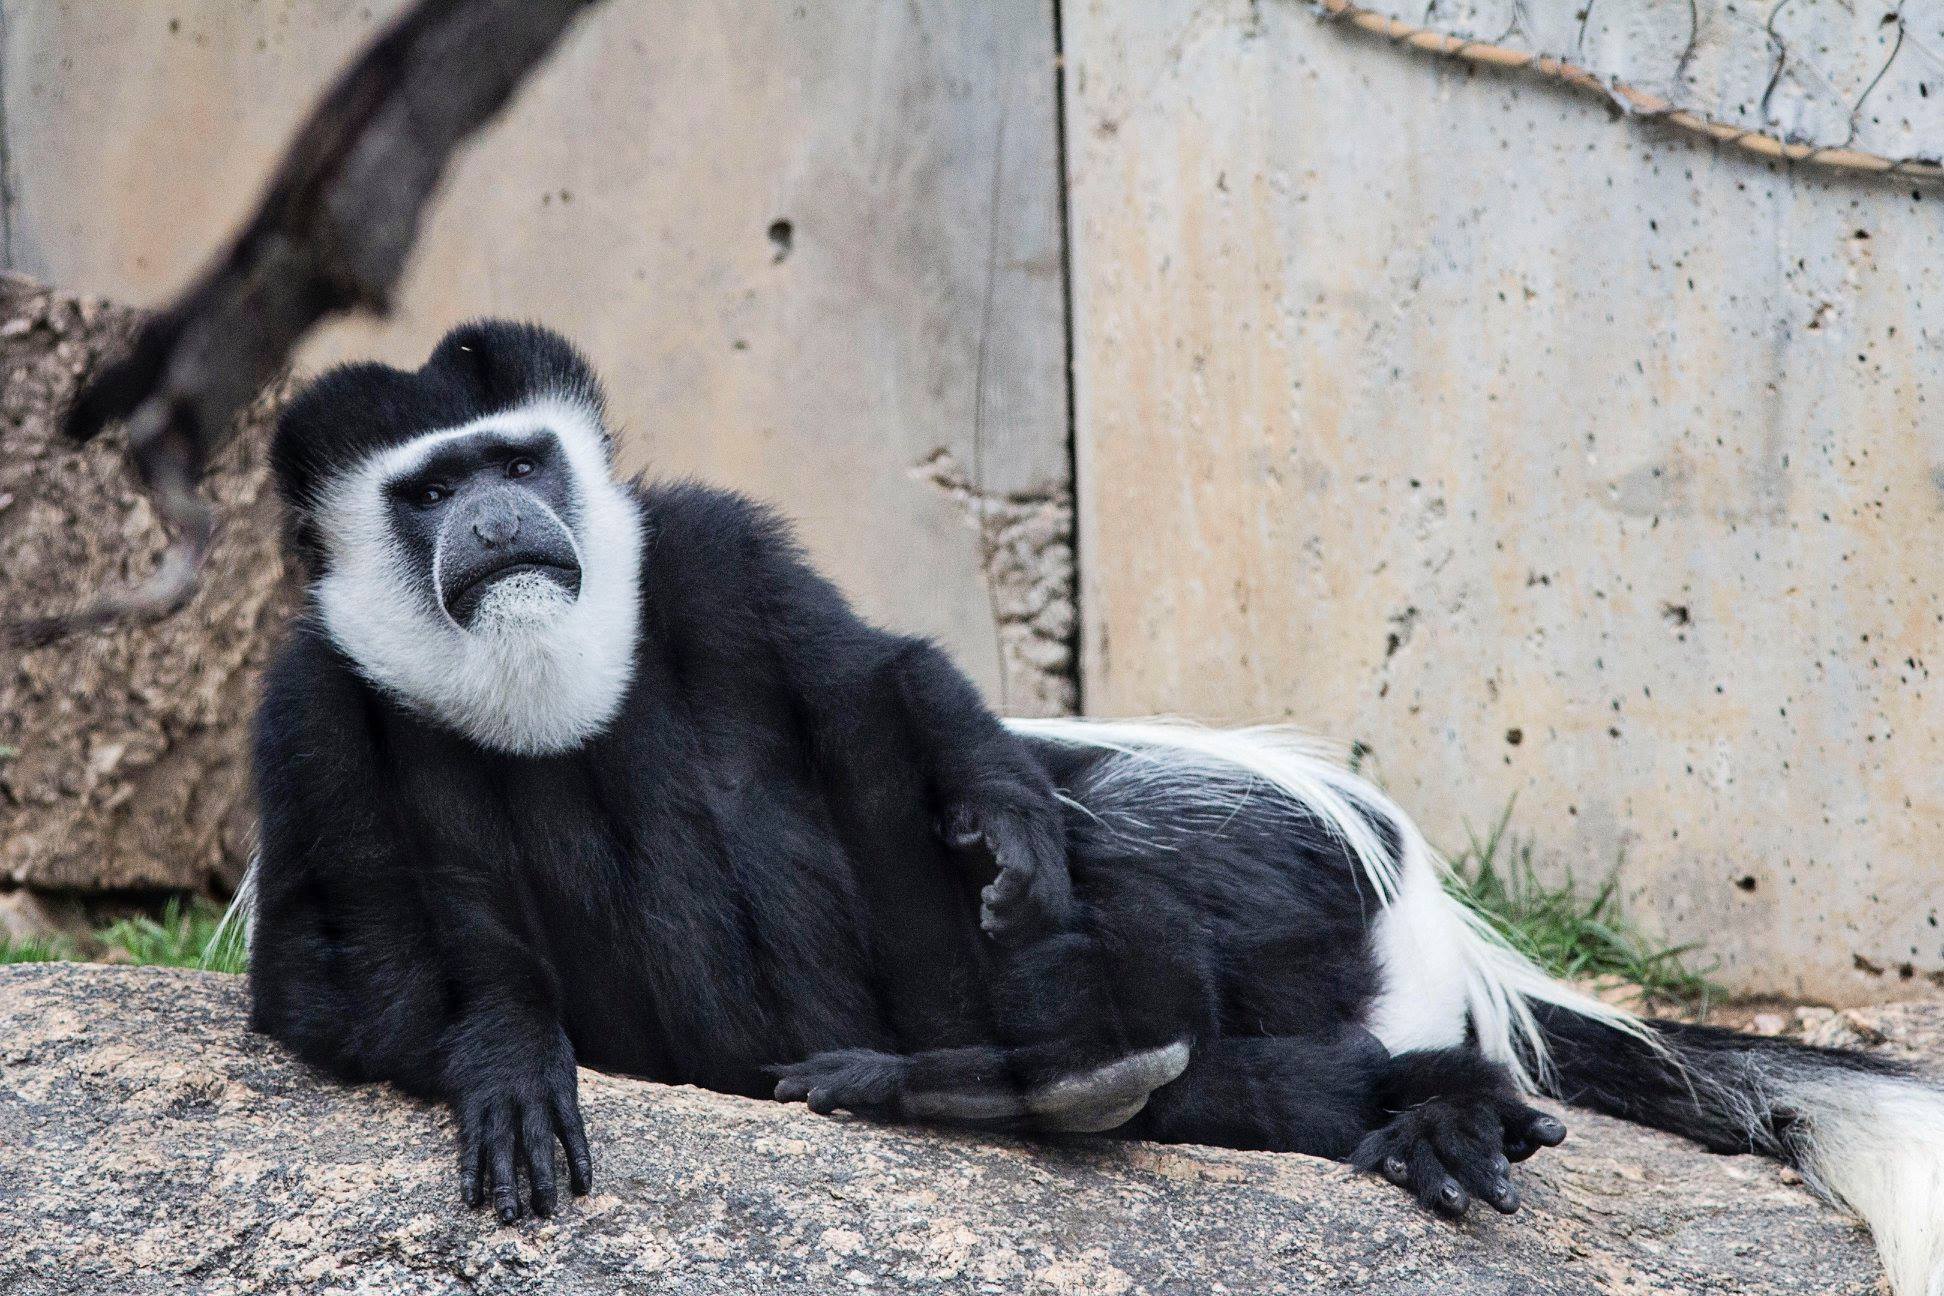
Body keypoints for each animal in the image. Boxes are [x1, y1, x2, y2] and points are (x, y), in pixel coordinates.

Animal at [244, 322, 1943, 1296]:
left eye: (520, 462)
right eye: (426, 494)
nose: (497, 523)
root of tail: (1443, 948)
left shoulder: (712, 548)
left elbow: (880, 681)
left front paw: (1000, 812)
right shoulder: (312, 717)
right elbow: (343, 985)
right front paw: (508, 1058)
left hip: (1272, 885)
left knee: (1104, 851)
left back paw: (1060, 1066)